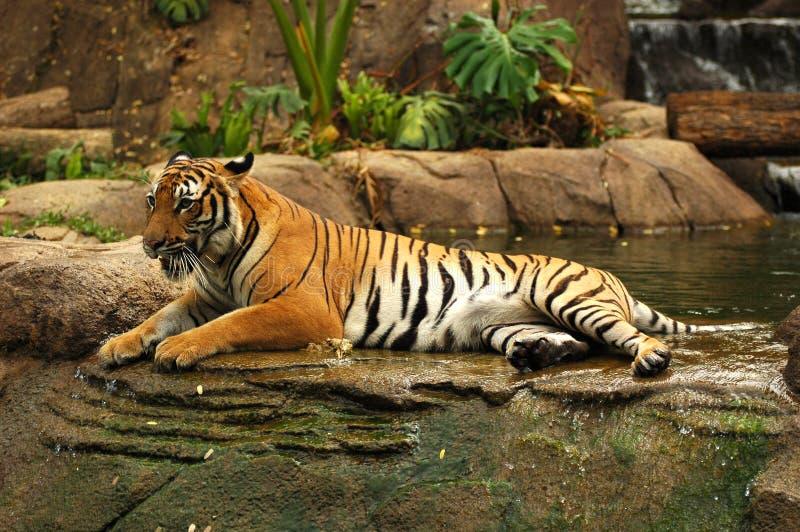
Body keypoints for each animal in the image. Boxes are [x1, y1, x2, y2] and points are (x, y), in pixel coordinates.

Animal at [98, 151, 751, 376]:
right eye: (152, 201)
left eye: (185, 205)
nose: (150, 246)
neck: (217, 253)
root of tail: (610, 274)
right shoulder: (202, 294)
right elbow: (159, 316)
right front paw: (117, 346)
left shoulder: (304, 311)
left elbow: (230, 324)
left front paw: (177, 351)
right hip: (503, 324)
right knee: (576, 344)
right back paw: (536, 356)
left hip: (566, 294)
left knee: (624, 336)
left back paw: (650, 360)